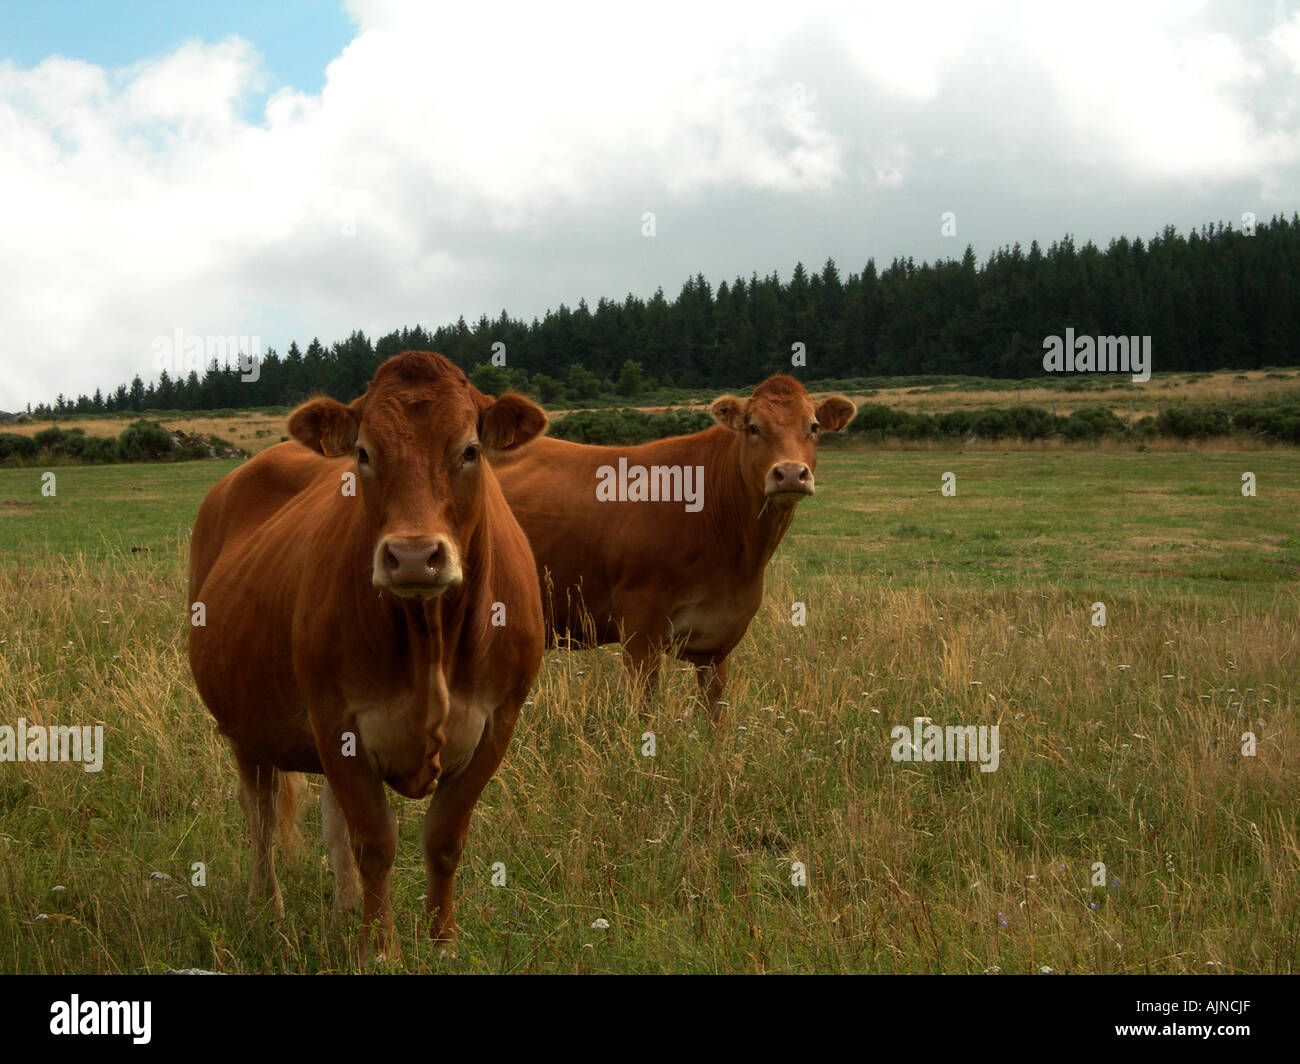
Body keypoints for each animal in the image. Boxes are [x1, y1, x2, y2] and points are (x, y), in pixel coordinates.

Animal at [187, 351, 547, 959]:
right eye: (363, 452)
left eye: (469, 450)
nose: (413, 556)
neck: (429, 636)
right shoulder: (337, 719)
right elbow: (375, 841)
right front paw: (379, 947)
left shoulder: (497, 723)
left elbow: (443, 838)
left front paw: (441, 942)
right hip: (245, 726)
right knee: (261, 813)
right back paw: (268, 907)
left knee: (330, 822)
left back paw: (345, 909)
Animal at [492, 375, 855, 719]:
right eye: (754, 427)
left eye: (814, 427)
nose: (790, 473)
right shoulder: (639, 624)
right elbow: (644, 707)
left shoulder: (720, 636)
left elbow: (714, 711)